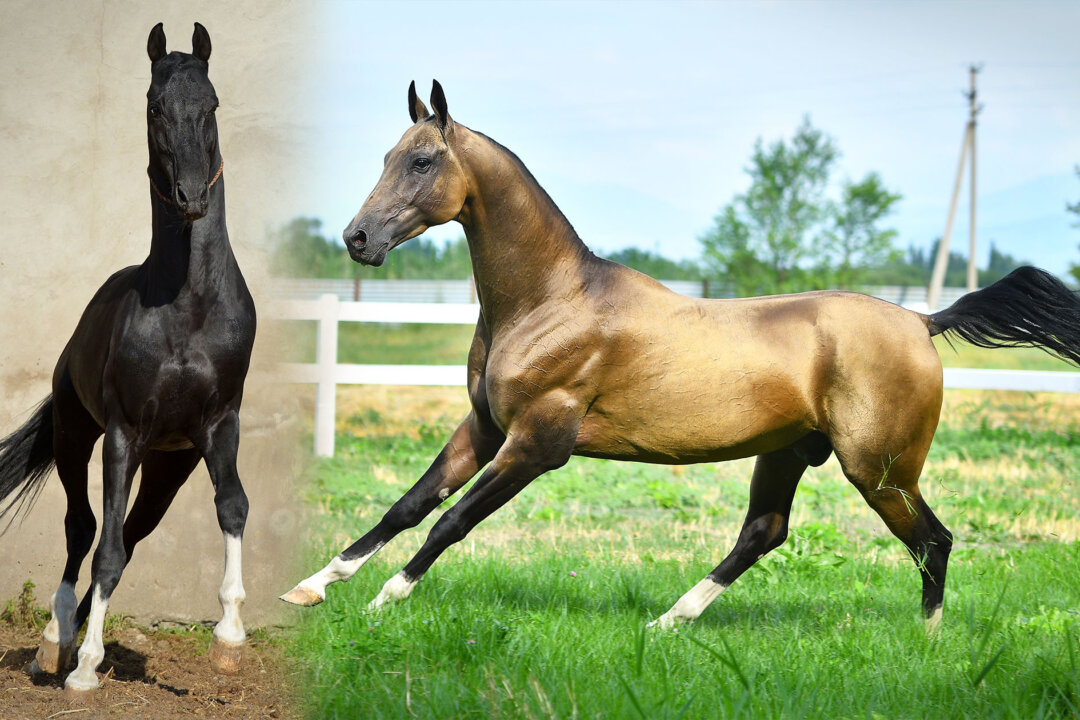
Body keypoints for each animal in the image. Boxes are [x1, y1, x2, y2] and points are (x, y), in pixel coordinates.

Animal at [0, 23, 256, 693]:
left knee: (132, 532)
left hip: (169, 463)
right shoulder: (122, 433)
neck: (190, 306)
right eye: (154, 107)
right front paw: (85, 668)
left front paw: (229, 638)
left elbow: (233, 507)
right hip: (75, 435)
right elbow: (104, 547)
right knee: (86, 529)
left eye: (211, 104)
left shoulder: (219, 426)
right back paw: (54, 644)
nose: (190, 198)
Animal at [281, 81, 1080, 632]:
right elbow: (408, 505)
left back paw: (928, 640)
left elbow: (451, 522)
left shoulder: (537, 444)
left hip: (880, 470)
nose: (357, 239)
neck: (551, 300)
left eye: (421, 161)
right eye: (388, 156)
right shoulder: (482, 427)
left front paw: (385, 601)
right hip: (789, 453)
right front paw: (313, 586)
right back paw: (669, 620)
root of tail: (922, 320)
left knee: (932, 542)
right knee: (764, 533)